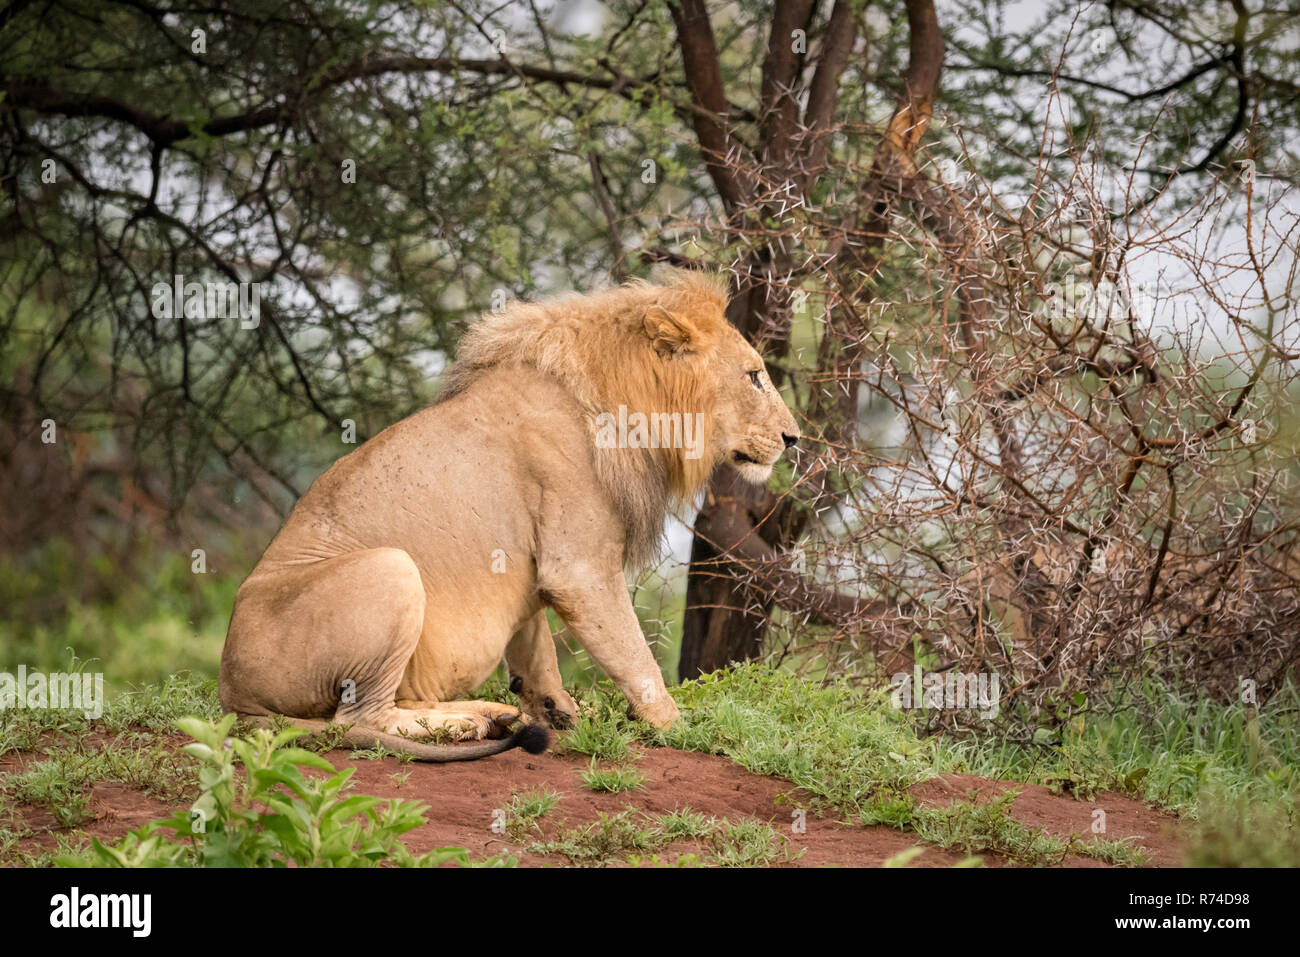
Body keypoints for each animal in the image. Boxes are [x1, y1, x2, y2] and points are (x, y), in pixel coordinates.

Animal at [218, 270, 801, 760]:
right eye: (754, 376)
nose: (794, 438)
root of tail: (231, 695)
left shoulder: (532, 562)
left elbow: (536, 647)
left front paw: (556, 710)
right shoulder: (579, 567)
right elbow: (635, 658)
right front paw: (678, 727)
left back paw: (489, 714)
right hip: (391, 568)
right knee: (358, 719)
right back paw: (459, 726)